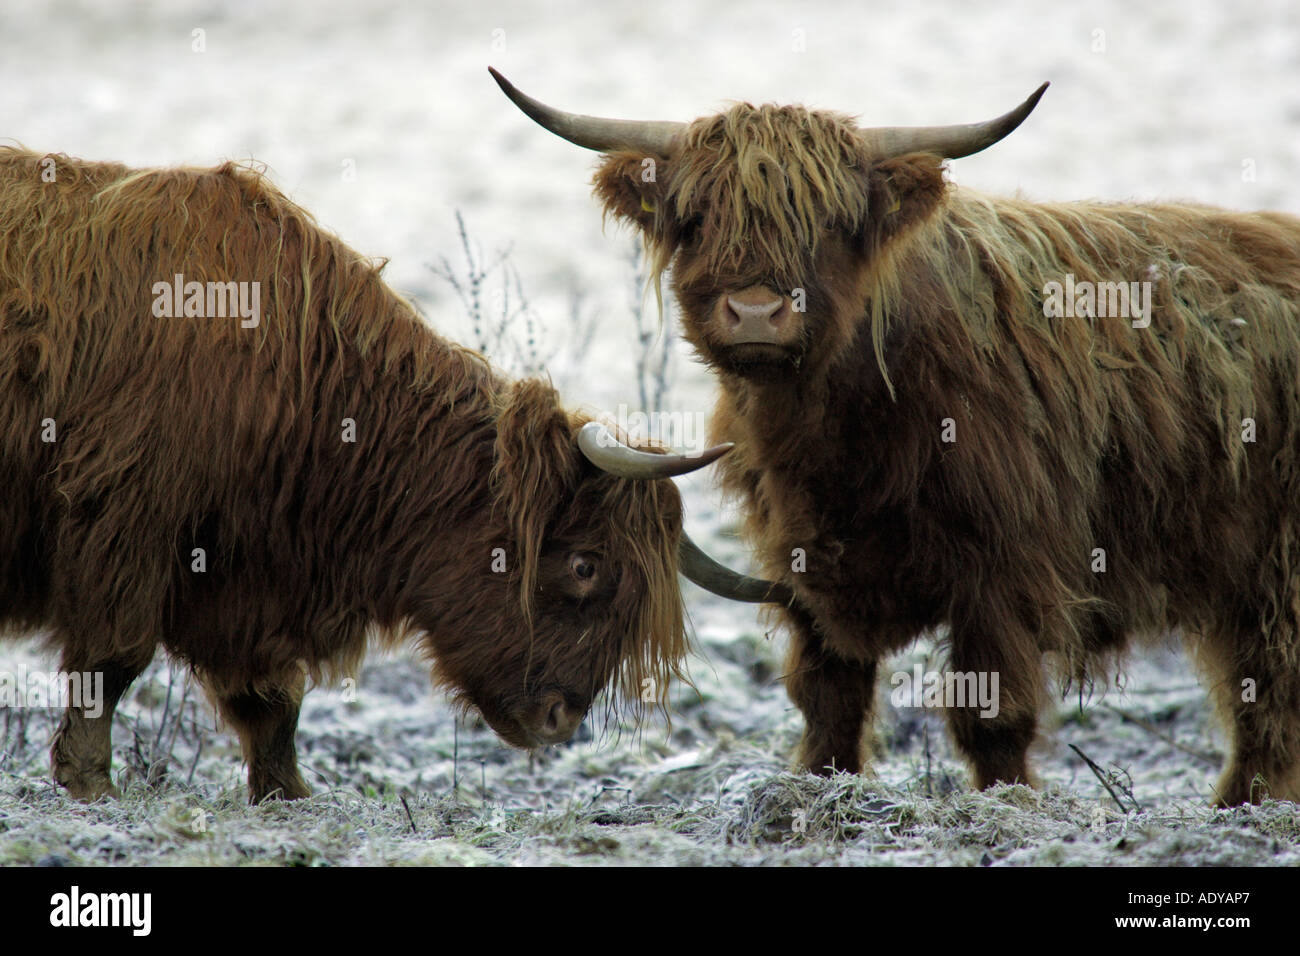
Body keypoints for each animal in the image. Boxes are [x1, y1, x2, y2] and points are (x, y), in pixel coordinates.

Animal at [0, 145, 762, 803]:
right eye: (584, 565)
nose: (559, 720)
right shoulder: (124, 519)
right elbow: (112, 662)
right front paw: (89, 782)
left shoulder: (242, 579)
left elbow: (270, 699)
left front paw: (288, 793)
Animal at [493, 68, 1300, 806]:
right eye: (694, 218)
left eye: (827, 222)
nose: (755, 312)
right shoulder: (802, 558)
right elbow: (828, 696)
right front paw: (822, 789)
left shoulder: (1005, 565)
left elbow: (992, 713)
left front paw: (1007, 806)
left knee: (1268, 691)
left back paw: (1242, 805)